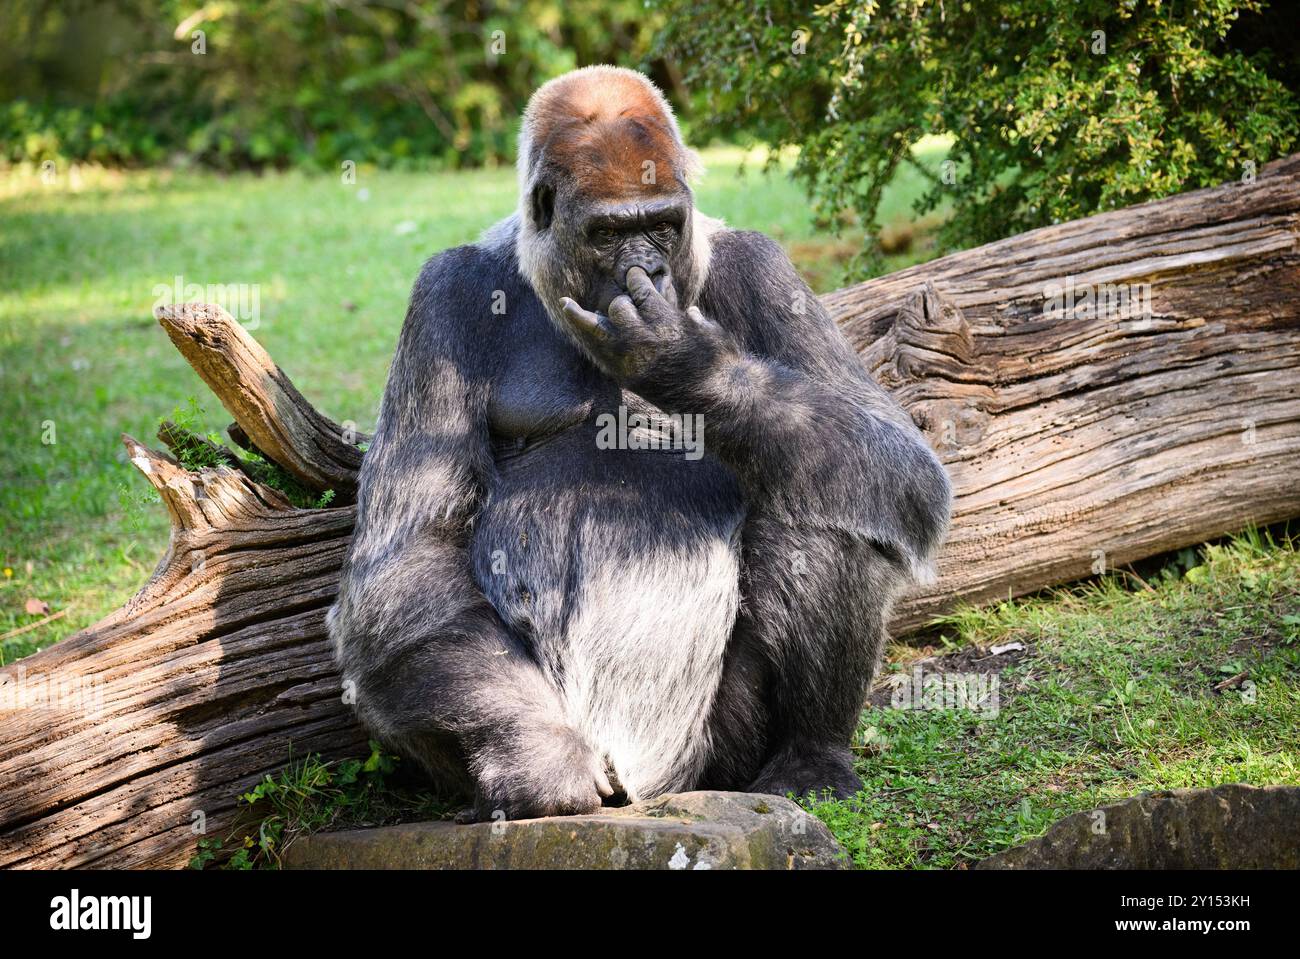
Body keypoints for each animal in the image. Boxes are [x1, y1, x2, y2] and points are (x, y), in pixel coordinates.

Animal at [327, 66, 951, 820]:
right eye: (607, 232)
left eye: (661, 225)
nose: (648, 273)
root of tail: (650, 789)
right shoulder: (444, 289)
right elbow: (408, 550)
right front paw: (538, 755)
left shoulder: (762, 264)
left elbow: (901, 461)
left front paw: (684, 361)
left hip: (712, 758)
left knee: (833, 507)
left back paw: (811, 754)